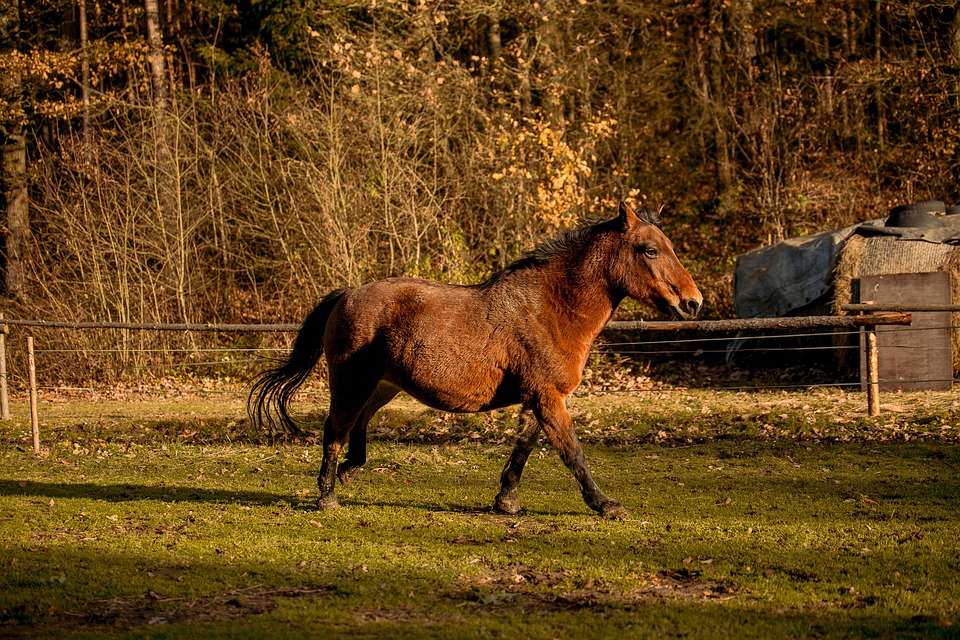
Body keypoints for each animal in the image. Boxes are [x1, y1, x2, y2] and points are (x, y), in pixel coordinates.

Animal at [249, 201, 702, 518]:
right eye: (649, 250)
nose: (692, 303)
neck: (550, 308)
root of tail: (347, 293)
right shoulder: (548, 396)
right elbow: (572, 451)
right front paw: (606, 504)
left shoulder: (536, 398)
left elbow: (524, 447)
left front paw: (507, 501)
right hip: (351, 382)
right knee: (335, 430)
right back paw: (327, 495)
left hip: (383, 386)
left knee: (358, 424)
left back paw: (349, 470)